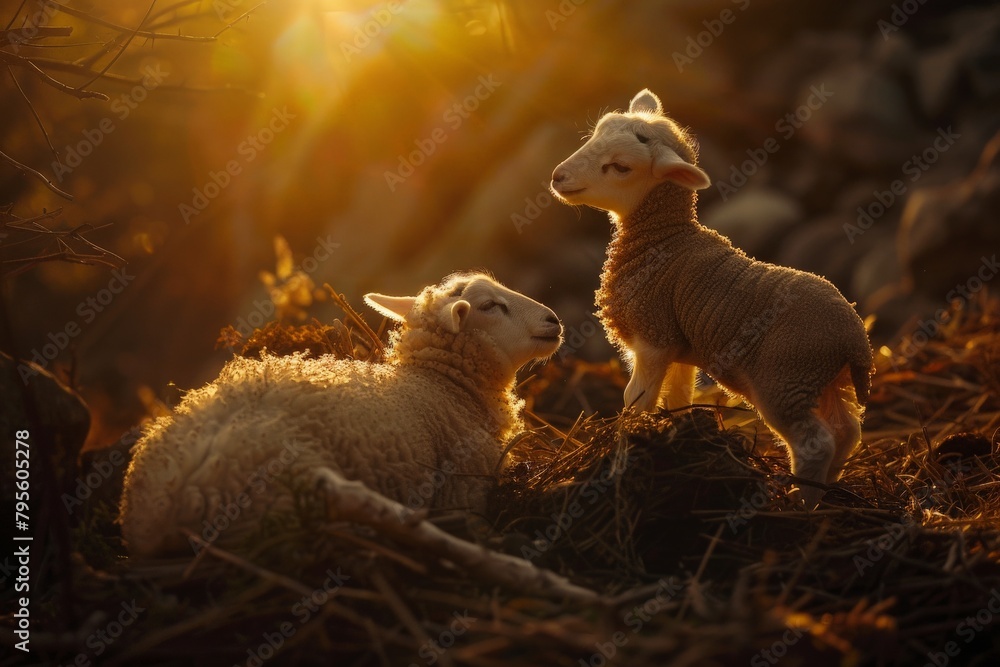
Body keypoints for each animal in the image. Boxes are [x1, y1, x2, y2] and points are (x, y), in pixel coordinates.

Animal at [550, 89, 874, 505]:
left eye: (620, 167)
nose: (558, 177)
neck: (664, 239)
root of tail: (855, 336)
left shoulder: (652, 334)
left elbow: (635, 398)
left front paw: (628, 438)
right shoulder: (676, 345)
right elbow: (677, 398)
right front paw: (677, 435)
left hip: (786, 376)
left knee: (816, 443)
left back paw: (799, 499)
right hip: (828, 377)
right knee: (847, 432)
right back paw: (826, 490)